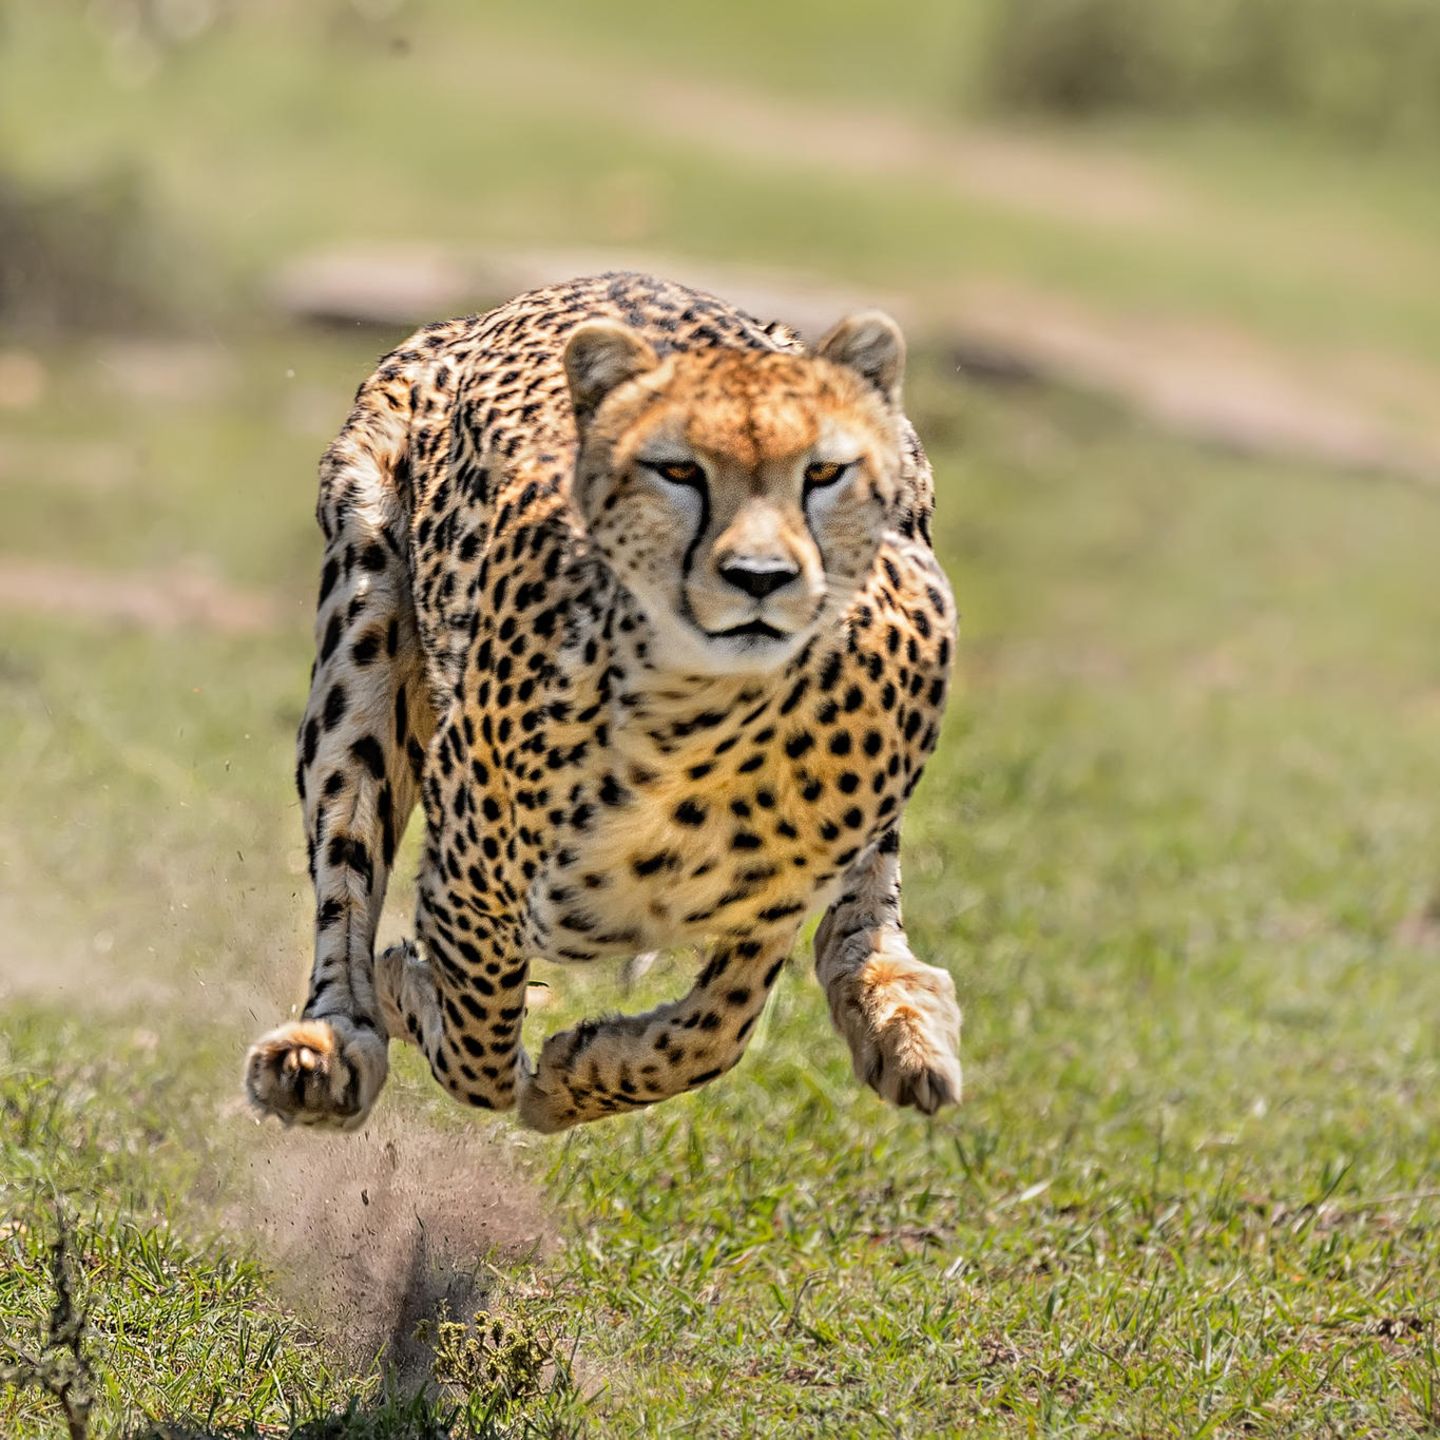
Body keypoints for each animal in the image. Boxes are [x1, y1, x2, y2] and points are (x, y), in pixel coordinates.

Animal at [244, 271, 961, 1134]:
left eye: (823, 474)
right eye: (678, 472)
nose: (760, 577)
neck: (707, 727)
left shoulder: (775, 899)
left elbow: (717, 1029)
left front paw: (578, 1074)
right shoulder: (471, 879)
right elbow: (478, 1043)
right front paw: (415, 996)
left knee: (865, 904)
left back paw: (898, 1017)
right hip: (364, 621)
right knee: (346, 857)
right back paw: (328, 1043)